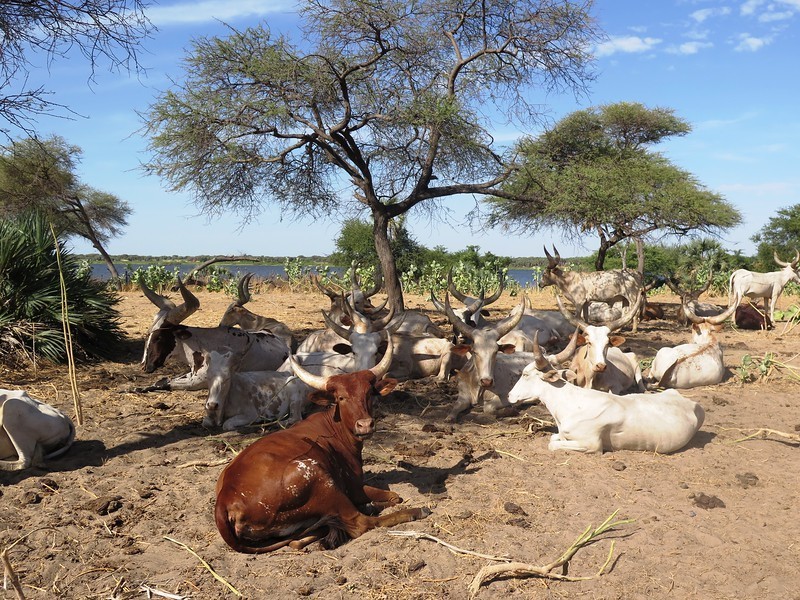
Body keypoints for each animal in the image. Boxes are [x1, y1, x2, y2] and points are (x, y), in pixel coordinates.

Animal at [214, 339, 431, 553]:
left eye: (369, 393)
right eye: (341, 397)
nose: (365, 425)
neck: (334, 427)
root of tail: (224, 500)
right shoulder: (353, 488)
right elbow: (394, 496)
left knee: (297, 540)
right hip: (322, 482)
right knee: (361, 523)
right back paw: (416, 511)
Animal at [507, 367, 704, 454]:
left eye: (525, 374)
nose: (509, 395)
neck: (572, 403)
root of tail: (692, 404)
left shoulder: (592, 444)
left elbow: (552, 444)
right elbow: (554, 438)